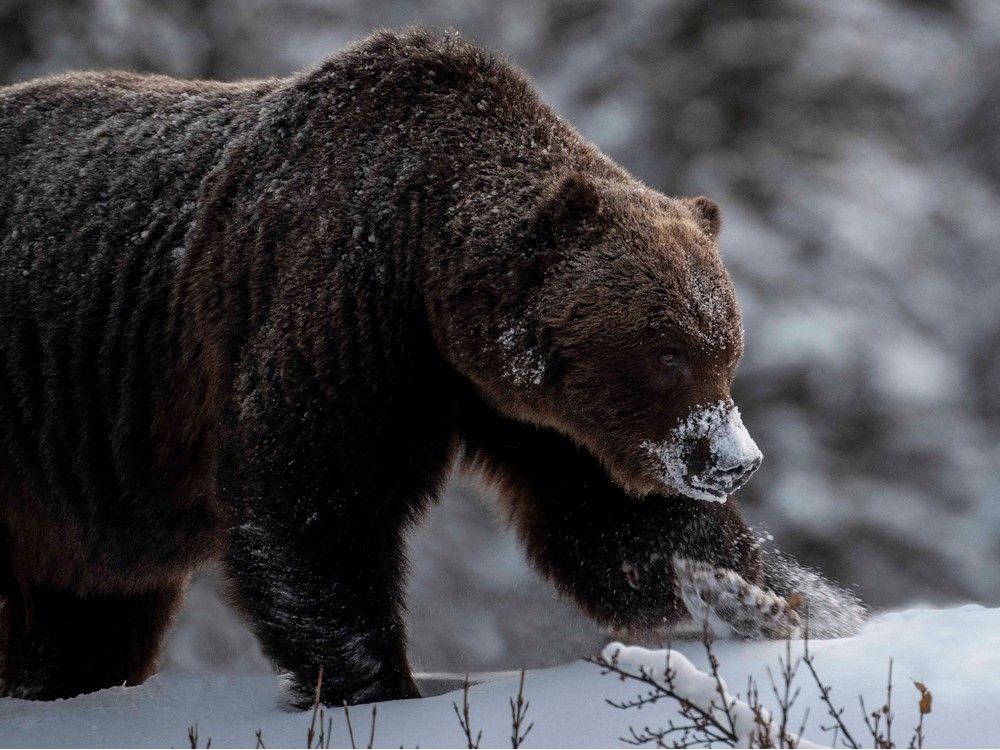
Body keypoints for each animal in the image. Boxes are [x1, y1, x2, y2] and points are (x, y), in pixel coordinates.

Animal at [0, 29, 810, 706]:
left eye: (727, 350)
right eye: (667, 353)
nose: (735, 460)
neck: (423, 273)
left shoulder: (513, 405)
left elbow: (610, 523)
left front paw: (761, 593)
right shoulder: (343, 321)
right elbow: (315, 501)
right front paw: (380, 683)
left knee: (96, 621)